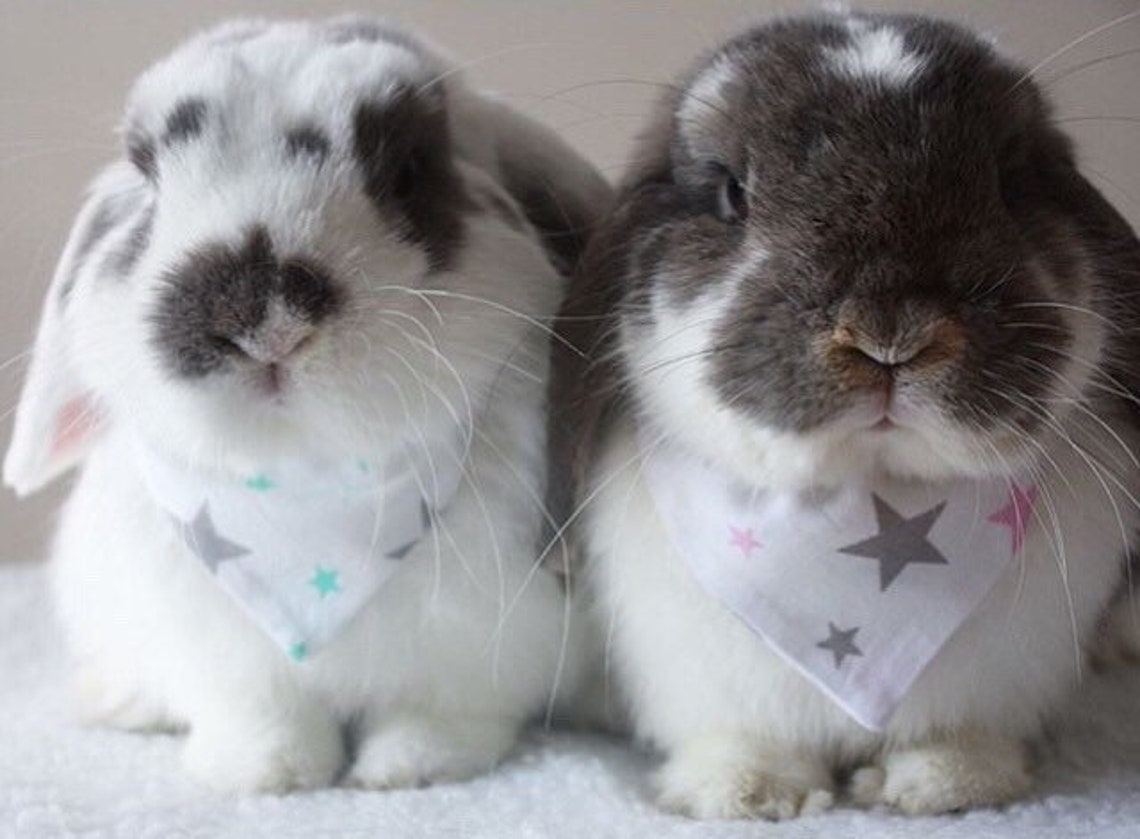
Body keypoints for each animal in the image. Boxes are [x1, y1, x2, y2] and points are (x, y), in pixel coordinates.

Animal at [3, 16, 612, 793]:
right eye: (148, 171)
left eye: (410, 167)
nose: (262, 317)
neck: (306, 483)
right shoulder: (219, 652)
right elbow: (259, 710)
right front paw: (268, 773)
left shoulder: (480, 651)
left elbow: (443, 713)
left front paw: (405, 771)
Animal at [551, 10, 1140, 820]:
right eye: (731, 193)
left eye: (1011, 184)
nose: (889, 335)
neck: (862, 497)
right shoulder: (710, 681)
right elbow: (743, 737)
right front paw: (750, 793)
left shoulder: (996, 683)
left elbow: (960, 736)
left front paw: (939, 785)